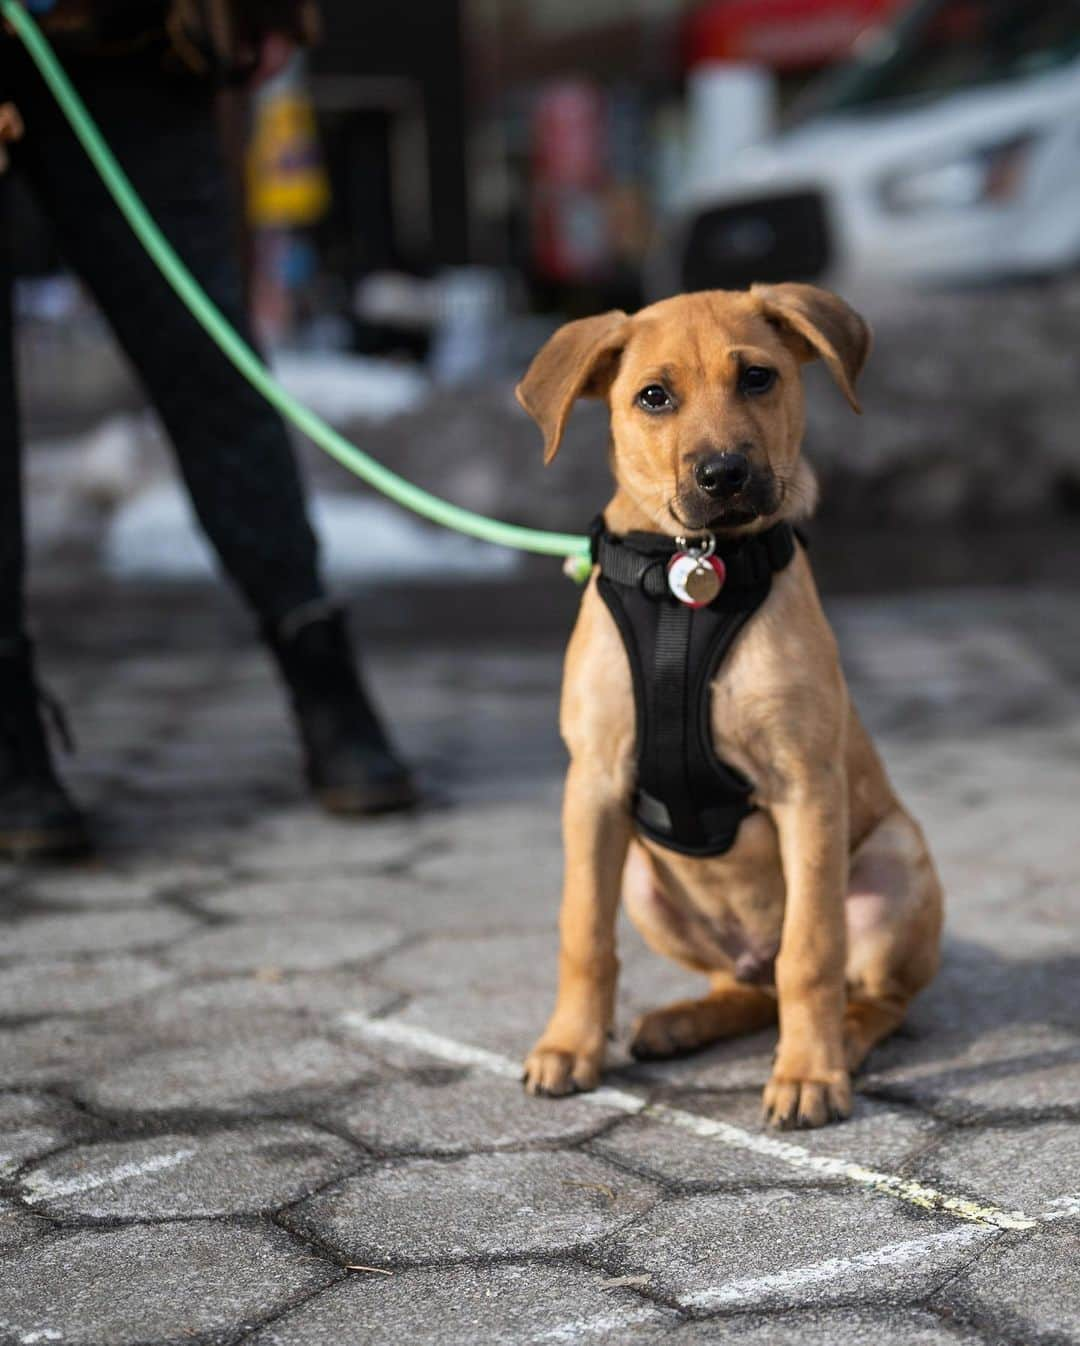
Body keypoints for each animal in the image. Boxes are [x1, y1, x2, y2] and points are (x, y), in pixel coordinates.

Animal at [514, 284, 931, 1125]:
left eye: (759, 378)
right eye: (653, 396)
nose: (724, 474)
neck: (691, 572)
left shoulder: (806, 786)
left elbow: (813, 948)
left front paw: (807, 1074)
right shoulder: (593, 784)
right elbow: (583, 933)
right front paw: (569, 1046)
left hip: (896, 862)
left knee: (857, 990)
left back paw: (841, 1042)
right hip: (647, 884)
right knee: (744, 986)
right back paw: (683, 1020)